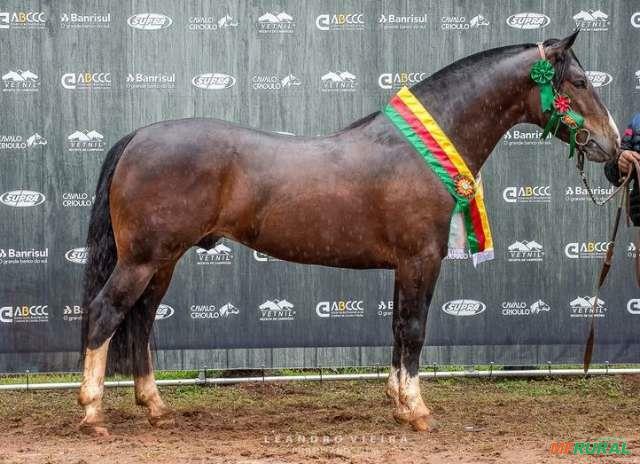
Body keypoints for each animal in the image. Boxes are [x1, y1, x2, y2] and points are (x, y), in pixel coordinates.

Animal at [78, 31, 620, 435]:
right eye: (579, 80)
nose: (613, 147)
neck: (419, 149)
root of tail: (138, 137)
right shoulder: (422, 259)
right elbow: (415, 330)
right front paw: (417, 411)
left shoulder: (405, 265)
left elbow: (398, 328)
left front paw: (398, 403)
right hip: (143, 259)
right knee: (107, 313)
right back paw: (92, 412)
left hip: (163, 261)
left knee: (142, 320)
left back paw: (155, 408)